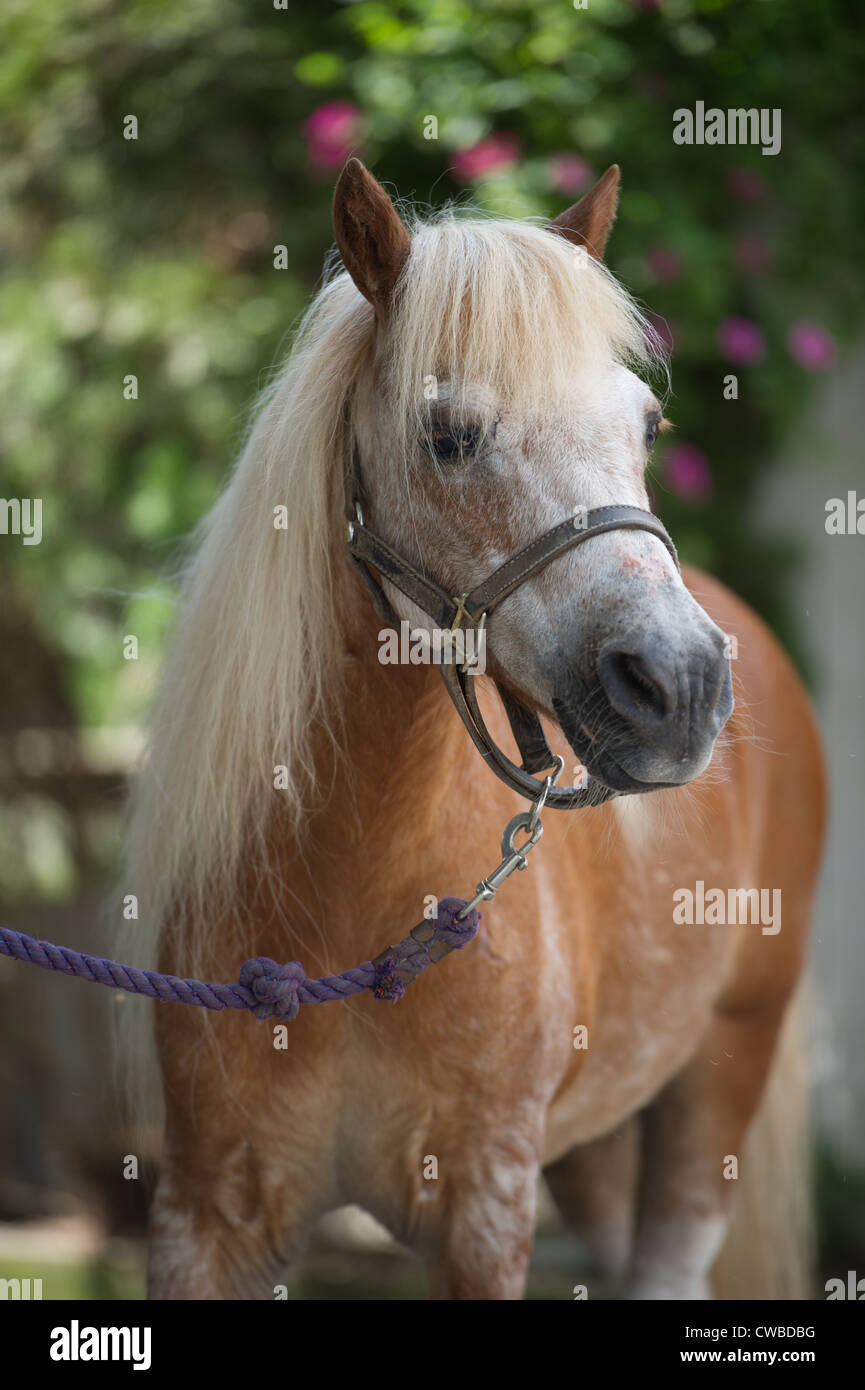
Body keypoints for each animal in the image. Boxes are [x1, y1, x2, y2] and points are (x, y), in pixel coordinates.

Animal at [127, 162, 828, 1301]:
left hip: (714, 1093)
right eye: (447, 436)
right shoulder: (202, 1213)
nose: (680, 683)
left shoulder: (487, 1212)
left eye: (647, 427)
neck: (350, 907)